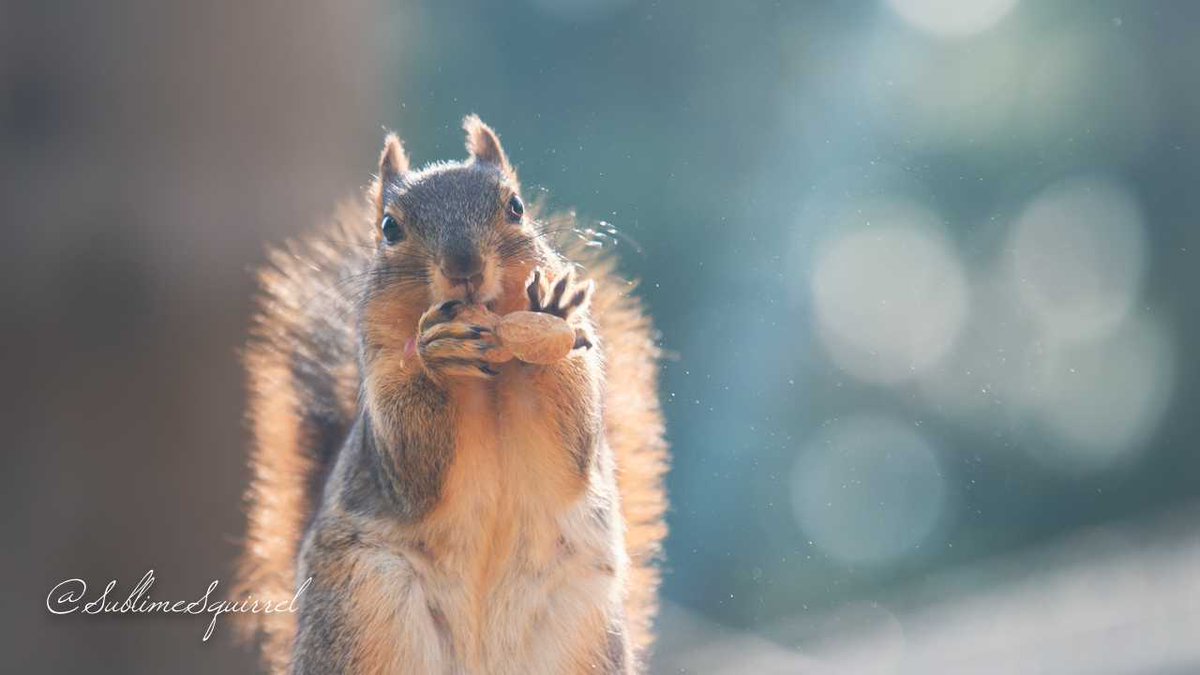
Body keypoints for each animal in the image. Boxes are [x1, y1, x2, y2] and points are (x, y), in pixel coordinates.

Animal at [235, 115, 668, 674]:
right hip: (366, 619)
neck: (494, 375)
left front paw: (548, 315)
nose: (464, 265)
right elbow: (415, 462)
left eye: (516, 206)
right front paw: (433, 357)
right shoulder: (383, 413)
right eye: (389, 228)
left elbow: (572, 440)